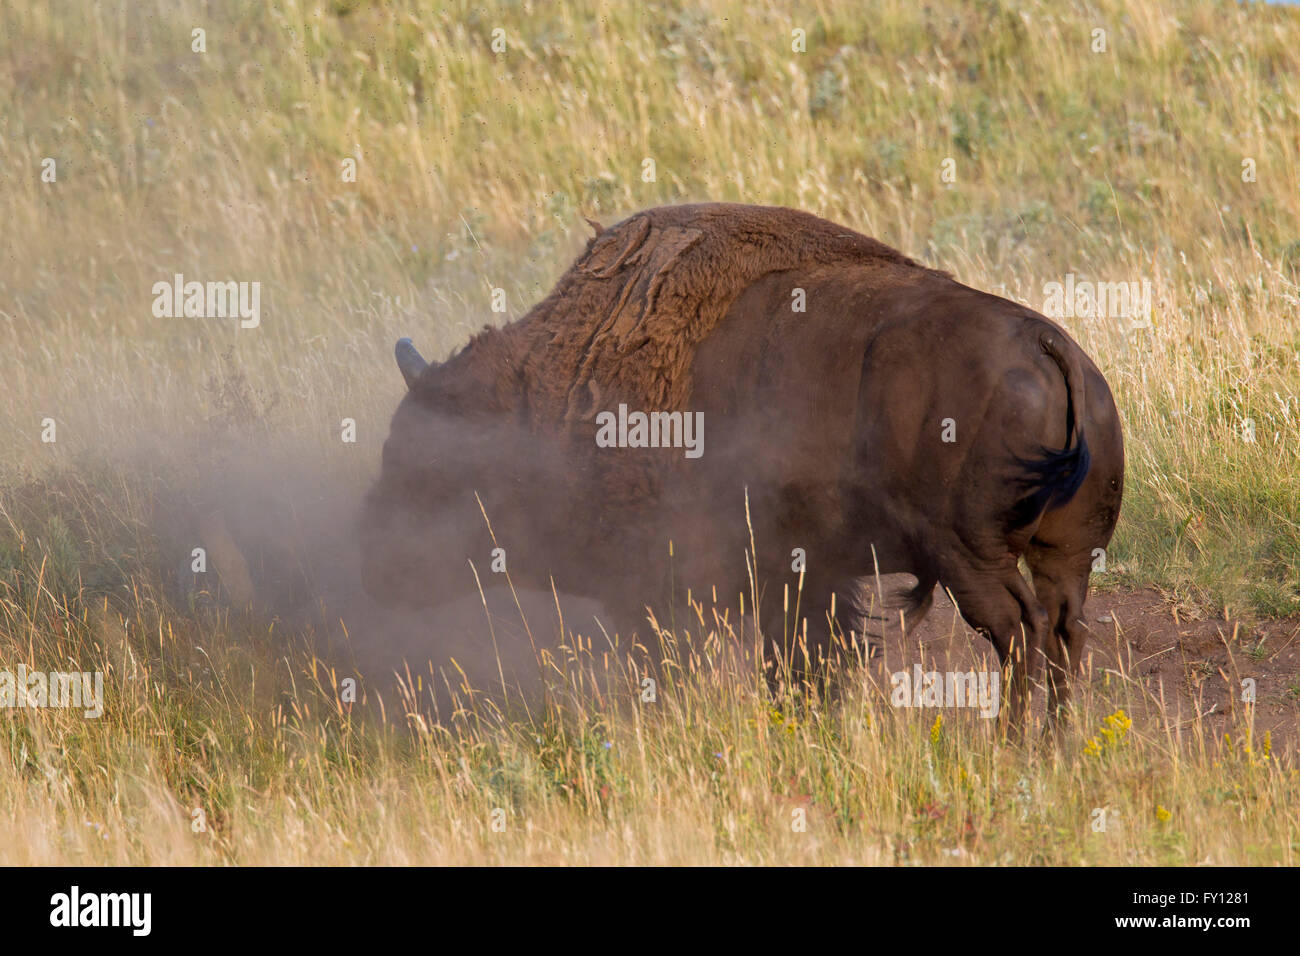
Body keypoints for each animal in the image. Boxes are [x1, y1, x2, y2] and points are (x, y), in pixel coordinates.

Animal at [361, 203, 1124, 726]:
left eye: (430, 468)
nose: (374, 550)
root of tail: (1049, 346)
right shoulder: (807, 578)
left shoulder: (671, 588)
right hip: (1064, 556)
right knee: (1065, 631)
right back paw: (1053, 746)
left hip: (972, 558)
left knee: (1019, 632)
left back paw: (1012, 744)